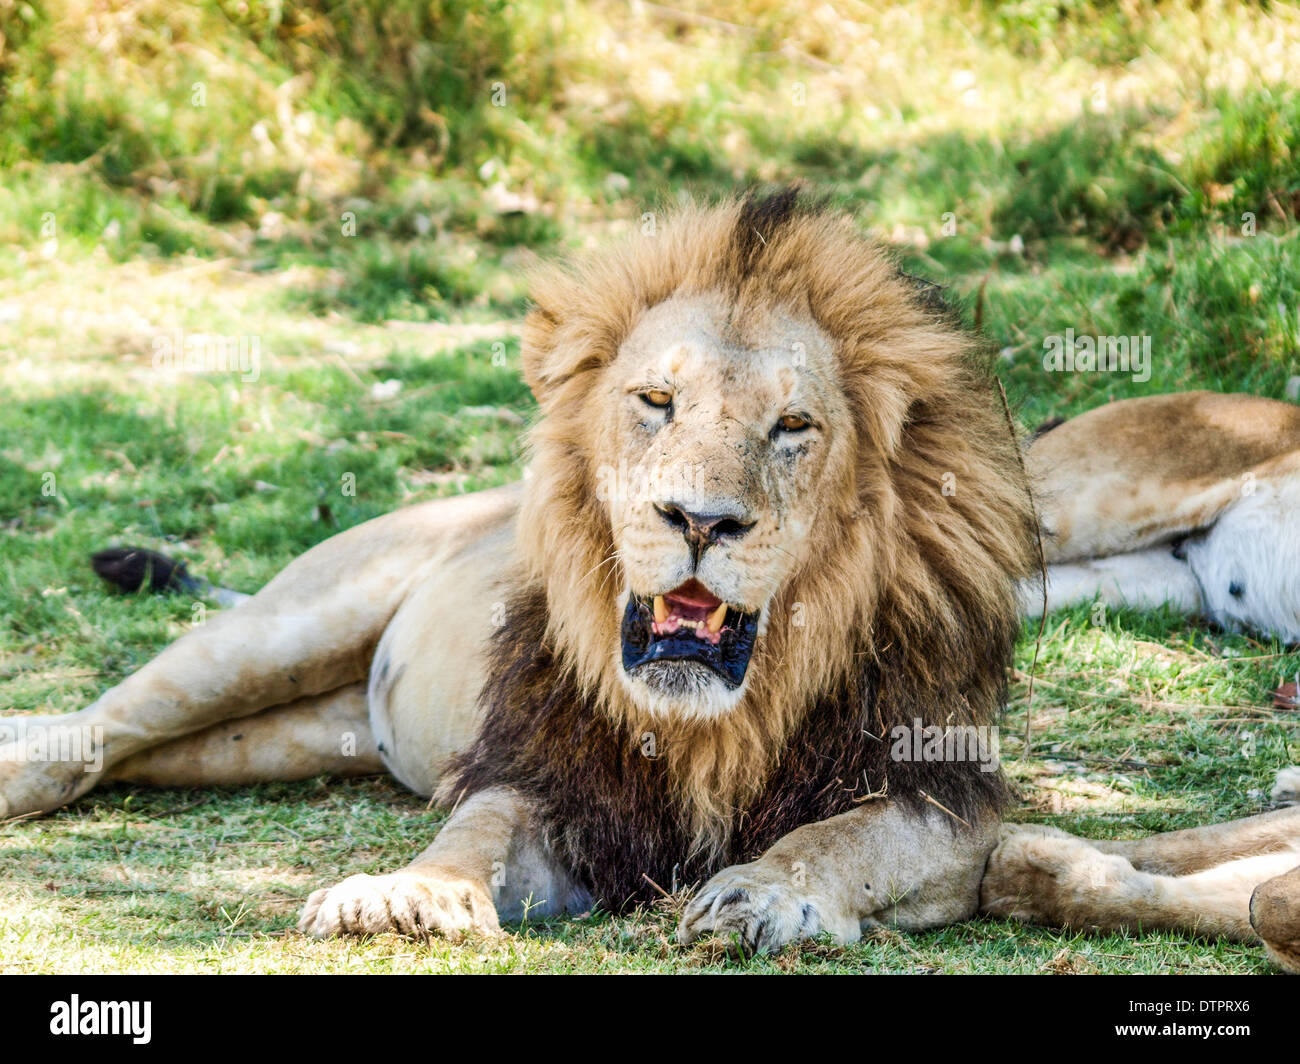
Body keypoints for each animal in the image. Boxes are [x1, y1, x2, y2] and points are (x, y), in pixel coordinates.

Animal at [2, 192, 1298, 969]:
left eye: (791, 425)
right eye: (655, 400)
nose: (699, 519)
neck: (716, 714)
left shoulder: (941, 797)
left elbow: (845, 843)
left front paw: (763, 893)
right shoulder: (554, 781)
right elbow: (472, 829)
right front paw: (406, 894)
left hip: (280, 735)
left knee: (144, 752)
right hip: (287, 627)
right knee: (99, 728)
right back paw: (24, 767)